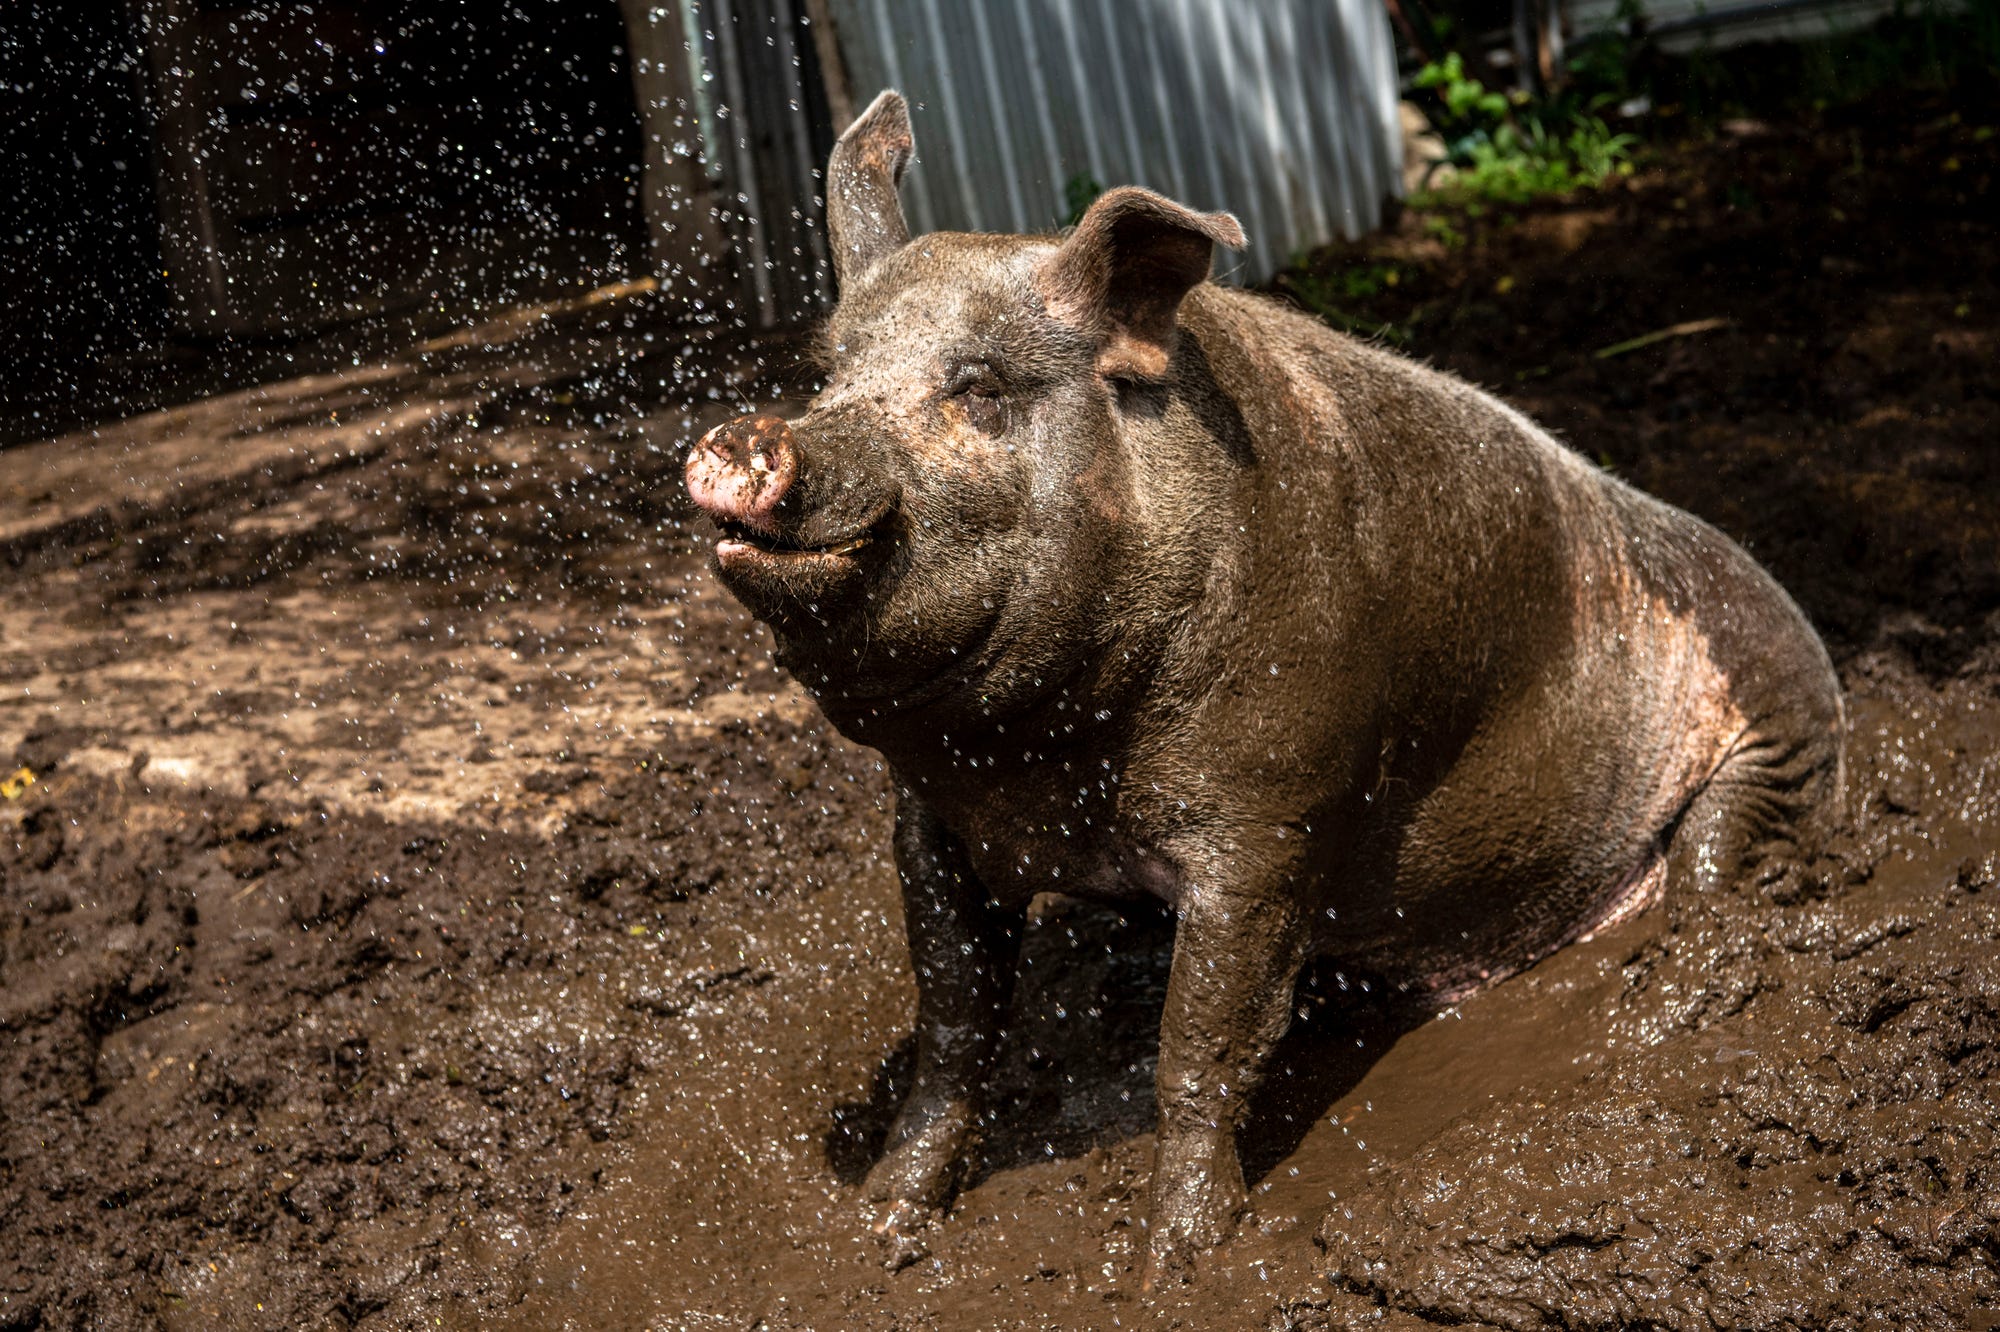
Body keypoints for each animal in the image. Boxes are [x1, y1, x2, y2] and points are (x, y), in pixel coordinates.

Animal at [682, 91, 1843, 1284]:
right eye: (827, 375)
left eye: (979, 388)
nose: (745, 435)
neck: (1046, 763)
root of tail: (1804, 630)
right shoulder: (930, 823)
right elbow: (954, 1027)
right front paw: (876, 1230)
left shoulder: (1269, 817)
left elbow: (1202, 1043)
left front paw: (1172, 1270)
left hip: (1774, 741)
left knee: (1714, 872)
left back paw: (1664, 994)